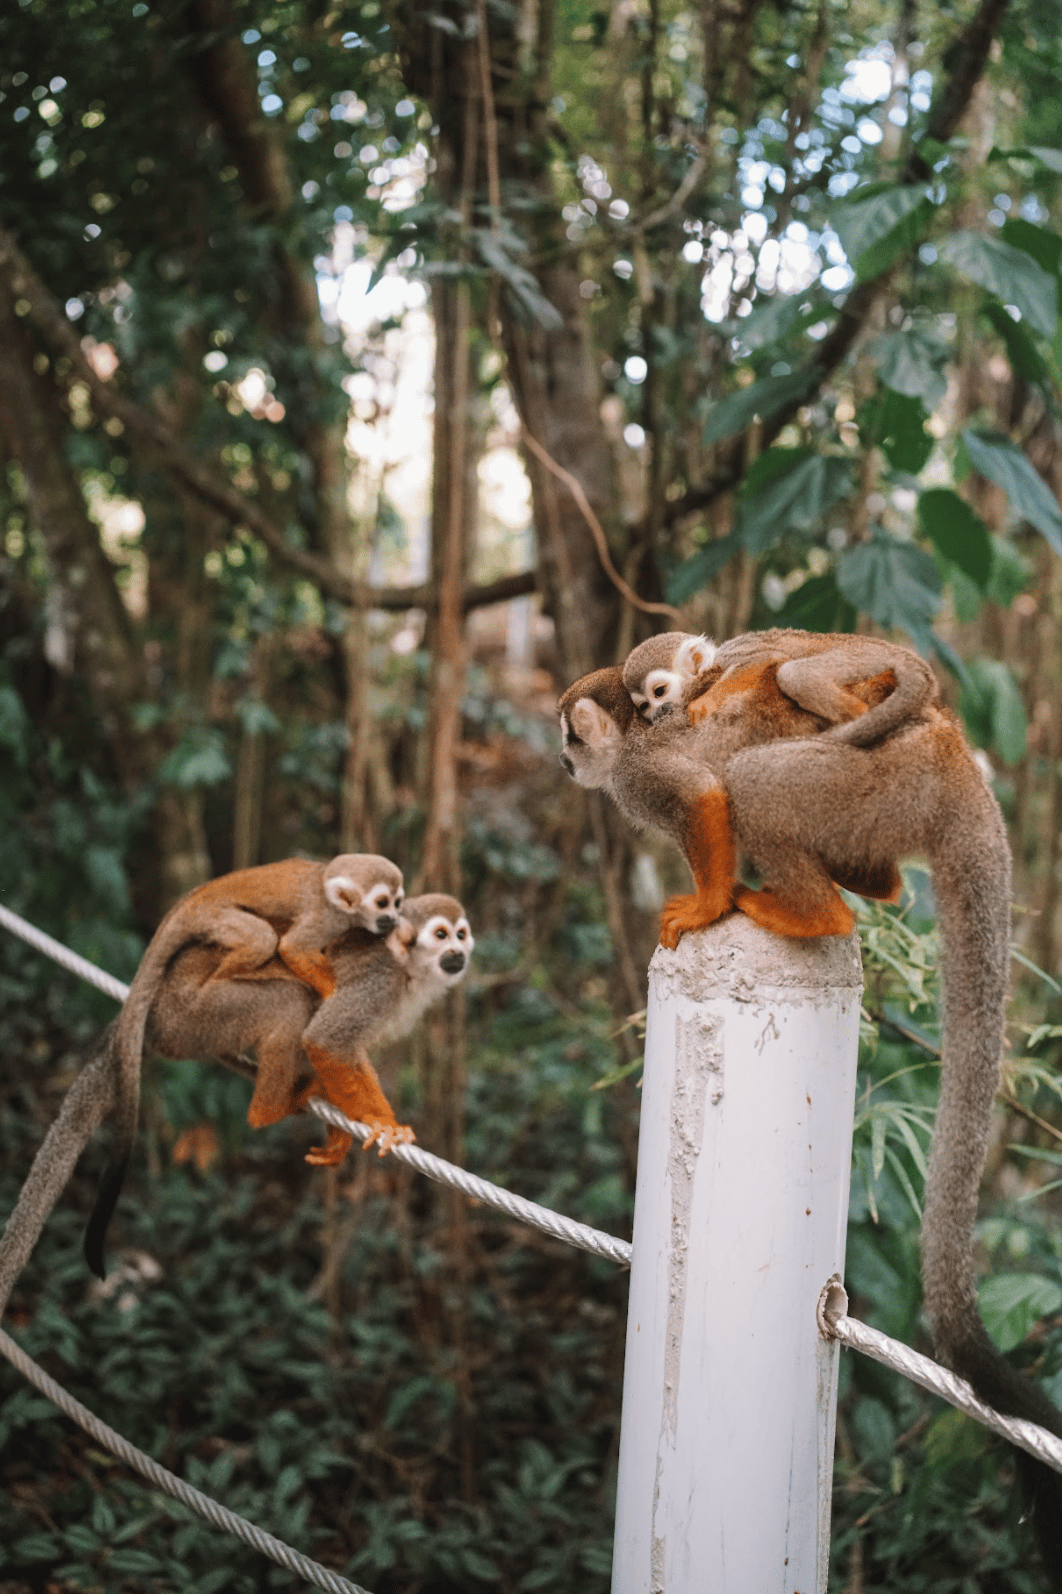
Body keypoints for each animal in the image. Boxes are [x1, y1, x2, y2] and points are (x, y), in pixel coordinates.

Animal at [81, 894, 474, 1276]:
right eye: (441, 935)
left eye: (461, 934)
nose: (459, 952)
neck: (408, 970)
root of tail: (155, 1009)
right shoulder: (377, 985)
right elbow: (325, 1041)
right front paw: (384, 1124)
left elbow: (346, 1050)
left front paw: (343, 1128)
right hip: (198, 1014)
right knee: (290, 1002)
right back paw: (269, 1110)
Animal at [558, 664, 1062, 1576]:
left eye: (571, 735)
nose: (561, 760)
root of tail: (951, 759)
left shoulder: (648, 776)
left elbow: (711, 796)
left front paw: (708, 903)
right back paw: (867, 887)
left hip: (868, 784)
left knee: (759, 783)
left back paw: (816, 912)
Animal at [623, 627, 940, 749]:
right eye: (644, 706)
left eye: (660, 692)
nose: (657, 712)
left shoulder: (734, 653)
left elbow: (763, 659)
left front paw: (703, 704)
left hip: (862, 658)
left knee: (791, 673)